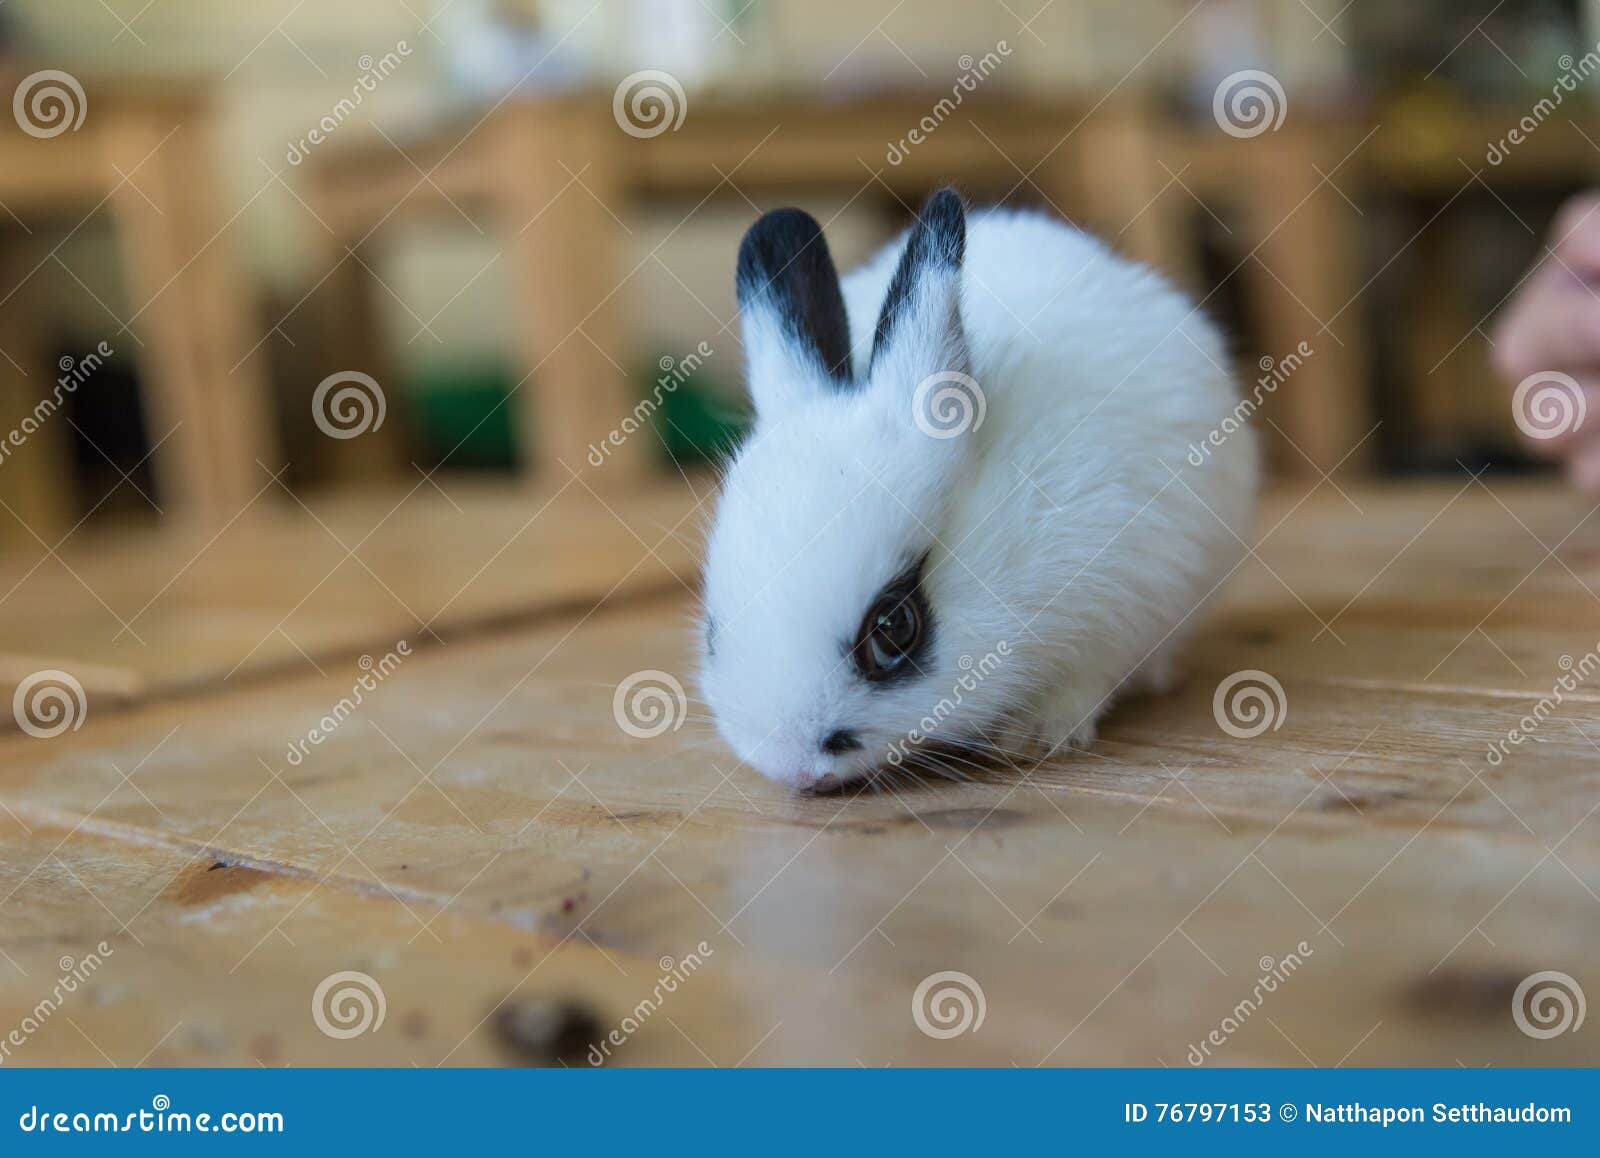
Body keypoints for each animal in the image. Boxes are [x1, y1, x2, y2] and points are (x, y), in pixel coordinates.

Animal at [698, 187, 1257, 791]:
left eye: (894, 628)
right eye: (712, 630)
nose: (791, 766)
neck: (1012, 538)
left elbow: (1086, 680)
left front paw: (1032, 736)